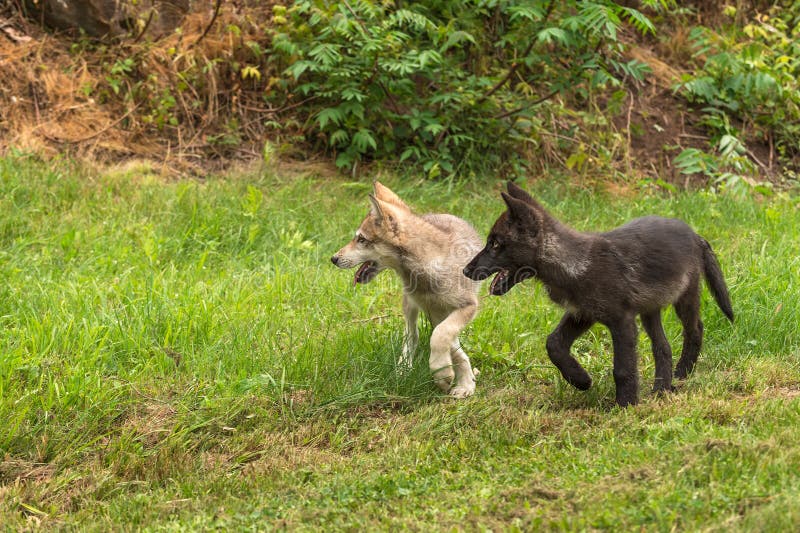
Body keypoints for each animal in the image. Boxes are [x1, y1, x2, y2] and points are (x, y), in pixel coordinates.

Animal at [331, 182, 483, 398]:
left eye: (361, 239)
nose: (333, 258)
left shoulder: (465, 306)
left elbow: (442, 337)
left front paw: (457, 380)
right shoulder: (434, 311)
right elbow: (447, 342)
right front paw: (449, 375)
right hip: (409, 304)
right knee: (412, 335)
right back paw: (404, 368)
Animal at [463, 181, 734, 407]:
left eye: (495, 244)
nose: (465, 270)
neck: (575, 263)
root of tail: (695, 235)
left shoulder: (622, 322)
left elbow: (622, 369)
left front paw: (625, 406)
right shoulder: (582, 314)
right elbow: (553, 344)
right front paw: (580, 380)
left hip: (685, 299)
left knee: (695, 330)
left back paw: (682, 374)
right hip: (649, 310)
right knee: (663, 347)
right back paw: (661, 390)